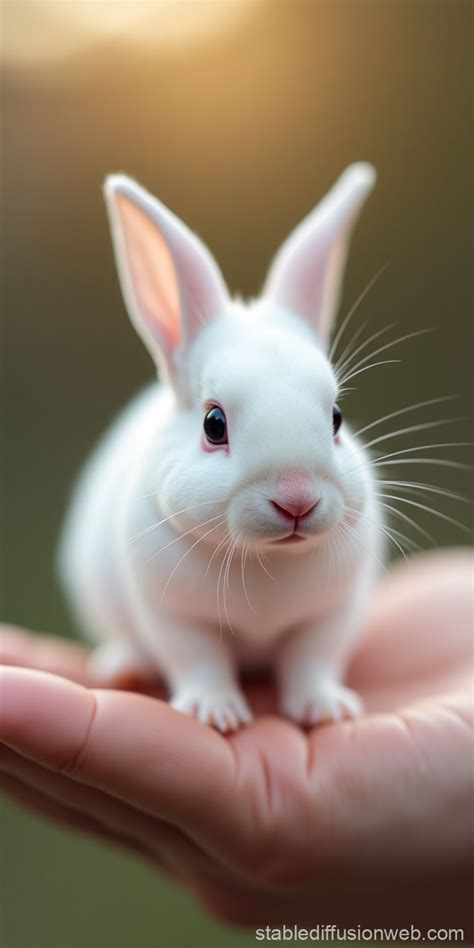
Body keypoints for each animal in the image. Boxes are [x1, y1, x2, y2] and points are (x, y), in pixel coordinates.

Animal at [58, 162, 383, 732]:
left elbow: (313, 659)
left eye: (336, 418)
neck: (268, 560)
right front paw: (216, 714)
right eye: (214, 424)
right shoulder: (174, 616)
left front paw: (325, 709)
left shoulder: (332, 614)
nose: (296, 498)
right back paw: (123, 667)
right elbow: (198, 659)